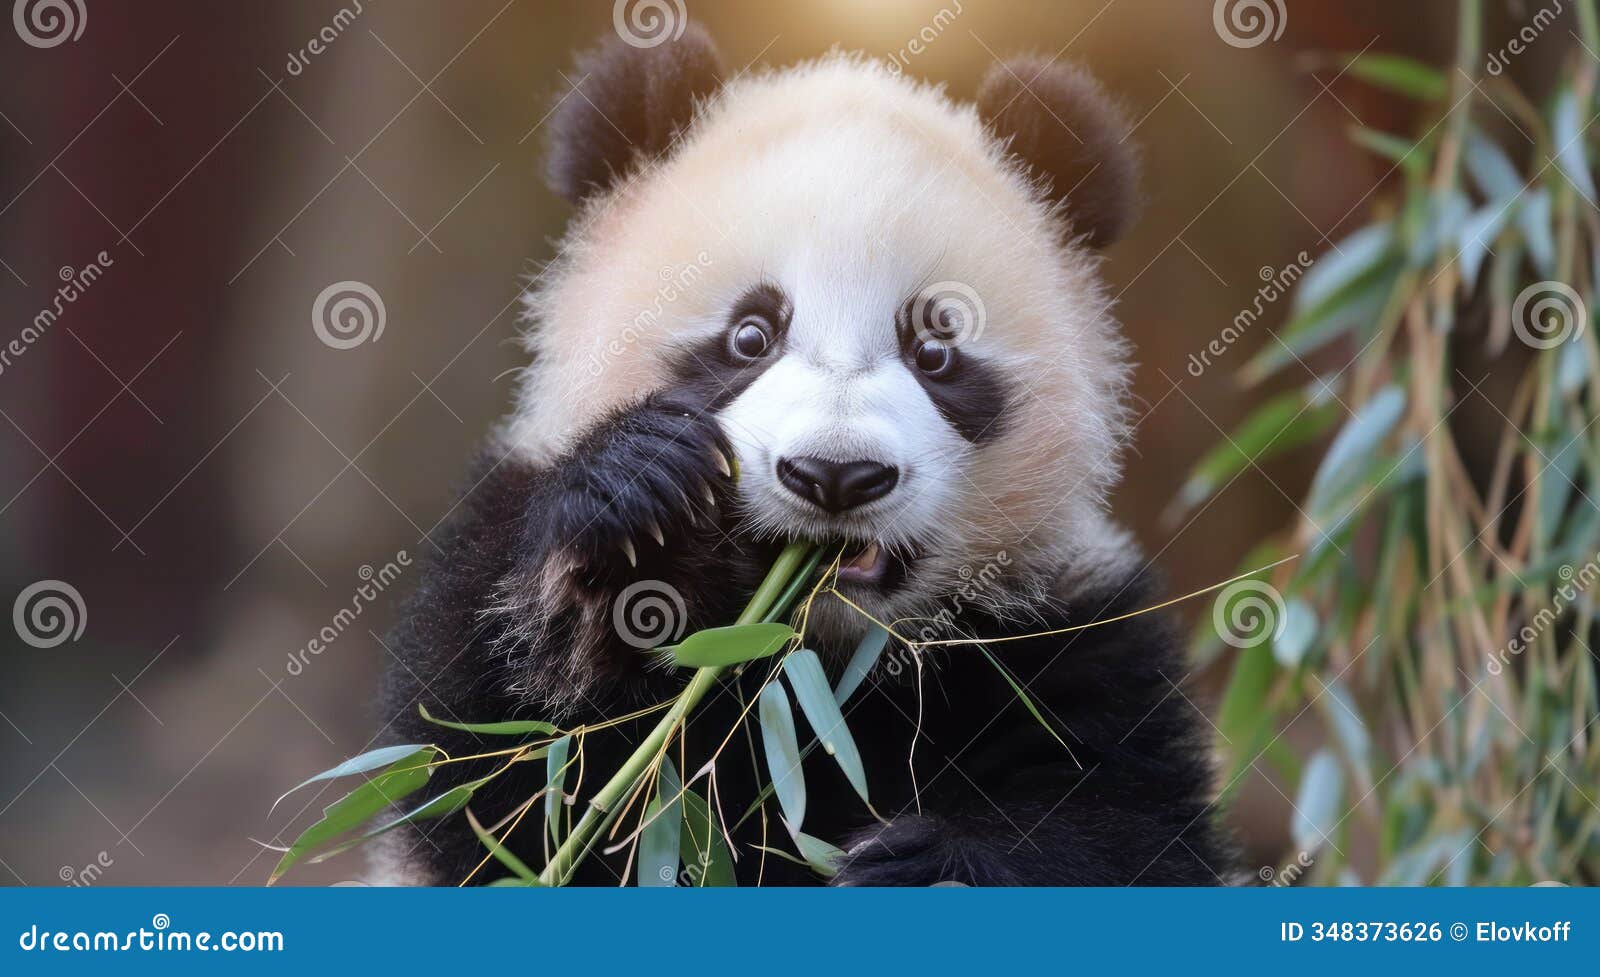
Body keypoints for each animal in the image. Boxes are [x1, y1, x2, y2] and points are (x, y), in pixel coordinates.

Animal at [373, 26, 1234, 886]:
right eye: (750, 335)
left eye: (935, 350)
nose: (836, 475)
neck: (811, 665)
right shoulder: (490, 552)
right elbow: (509, 784)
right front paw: (631, 504)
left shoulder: (1071, 623)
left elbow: (1124, 823)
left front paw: (914, 864)